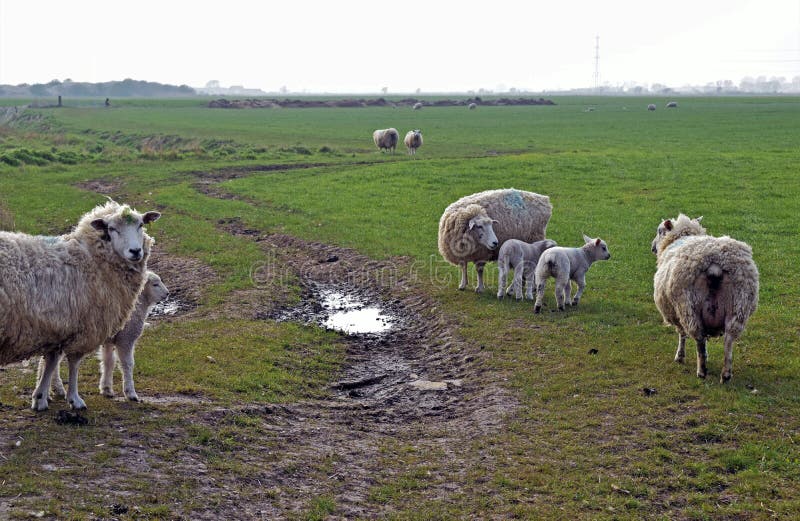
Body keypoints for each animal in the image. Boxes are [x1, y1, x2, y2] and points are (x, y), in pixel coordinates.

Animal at [44, 271, 169, 402]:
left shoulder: (109, 341)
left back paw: (51, 392)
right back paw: (54, 390)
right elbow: (128, 364)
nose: (167, 293)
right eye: (155, 284)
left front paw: (106, 389)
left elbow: (109, 362)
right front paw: (130, 393)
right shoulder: (126, 338)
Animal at [651, 214, 759, 383]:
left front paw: (680, 356)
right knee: (728, 340)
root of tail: (715, 265)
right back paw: (726, 374)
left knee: (699, 338)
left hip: (688, 306)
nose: (653, 247)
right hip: (739, 305)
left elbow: (682, 335)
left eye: (660, 231)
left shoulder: (675, 312)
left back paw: (701, 371)